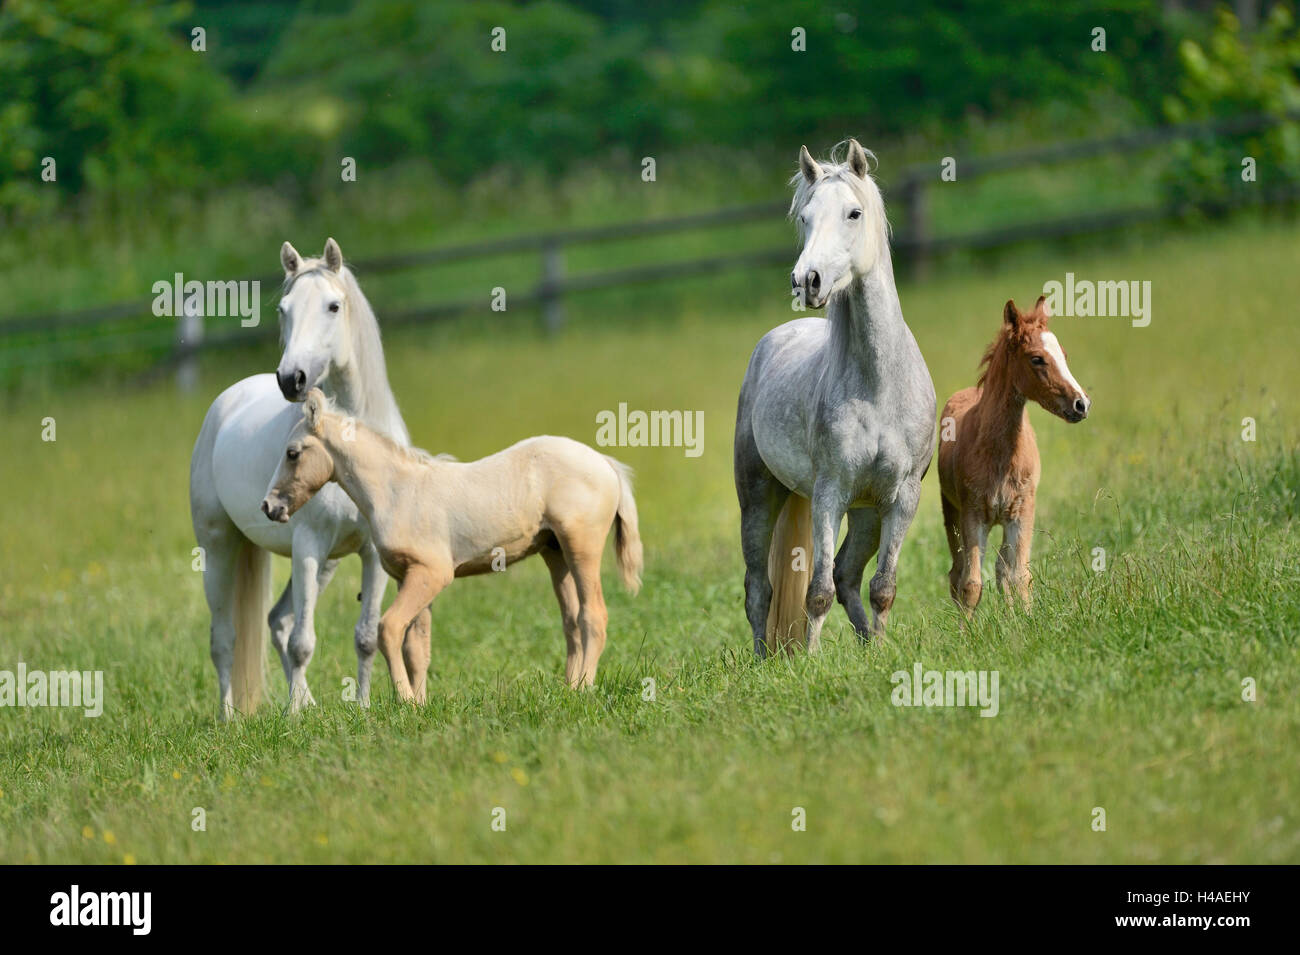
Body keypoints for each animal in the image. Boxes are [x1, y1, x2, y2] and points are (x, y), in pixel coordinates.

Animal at [189, 238, 427, 717]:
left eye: (333, 306)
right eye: (284, 309)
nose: (290, 379)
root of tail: (226, 403)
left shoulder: (371, 553)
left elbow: (365, 637)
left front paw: (362, 706)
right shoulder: (307, 547)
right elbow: (303, 642)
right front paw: (294, 719)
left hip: (326, 563)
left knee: (276, 621)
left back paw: (307, 702)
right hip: (220, 548)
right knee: (225, 640)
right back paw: (230, 718)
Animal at [260, 389, 643, 698]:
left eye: (292, 453)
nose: (269, 507)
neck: (397, 491)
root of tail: (606, 463)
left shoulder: (432, 574)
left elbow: (389, 629)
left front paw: (405, 700)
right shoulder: (409, 577)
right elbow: (417, 647)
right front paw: (421, 706)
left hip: (581, 546)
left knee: (593, 615)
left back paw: (584, 688)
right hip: (555, 553)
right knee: (572, 620)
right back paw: (569, 688)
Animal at [734, 140, 936, 656]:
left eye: (853, 213)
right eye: (806, 216)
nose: (807, 281)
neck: (878, 386)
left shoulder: (900, 497)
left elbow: (882, 586)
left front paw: (881, 653)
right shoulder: (830, 494)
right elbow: (817, 591)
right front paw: (810, 660)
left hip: (866, 514)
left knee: (848, 576)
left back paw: (869, 644)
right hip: (758, 497)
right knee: (759, 588)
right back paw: (763, 659)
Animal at [937, 295, 1090, 614]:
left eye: (1064, 354)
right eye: (1037, 359)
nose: (1081, 404)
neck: (1000, 455)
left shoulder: (1022, 511)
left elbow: (1019, 576)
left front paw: (1026, 620)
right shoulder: (973, 514)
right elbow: (971, 584)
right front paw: (966, 628)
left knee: (1001, 570)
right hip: (952, 512)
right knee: (957, 574)